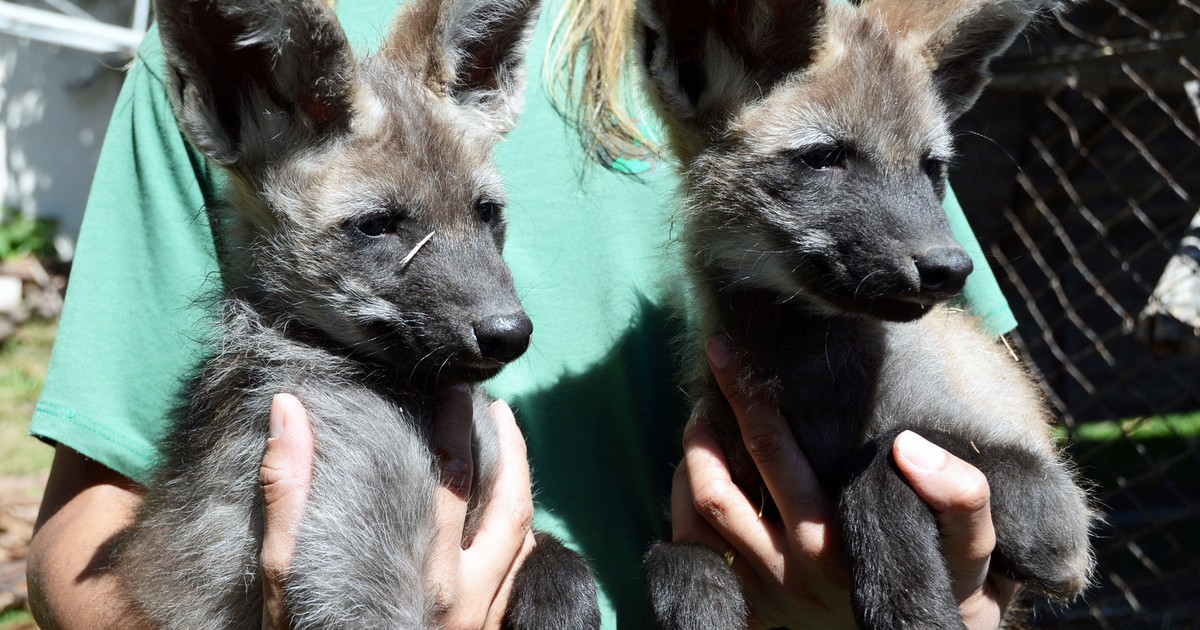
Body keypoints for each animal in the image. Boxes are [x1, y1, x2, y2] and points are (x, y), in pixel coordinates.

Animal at [111, 0, 600, 627]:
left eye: (487, 212)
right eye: (376, 225)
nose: (508, 332)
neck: (412, 404)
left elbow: (561, 558)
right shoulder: (351, 581)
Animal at [635, 0, 1096, 628]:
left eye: (932, 169)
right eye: (825, 158)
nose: (951, 267)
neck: (822, 394)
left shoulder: (1064, 533)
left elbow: (885, 457)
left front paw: (909, 604)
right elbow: (675, 559)